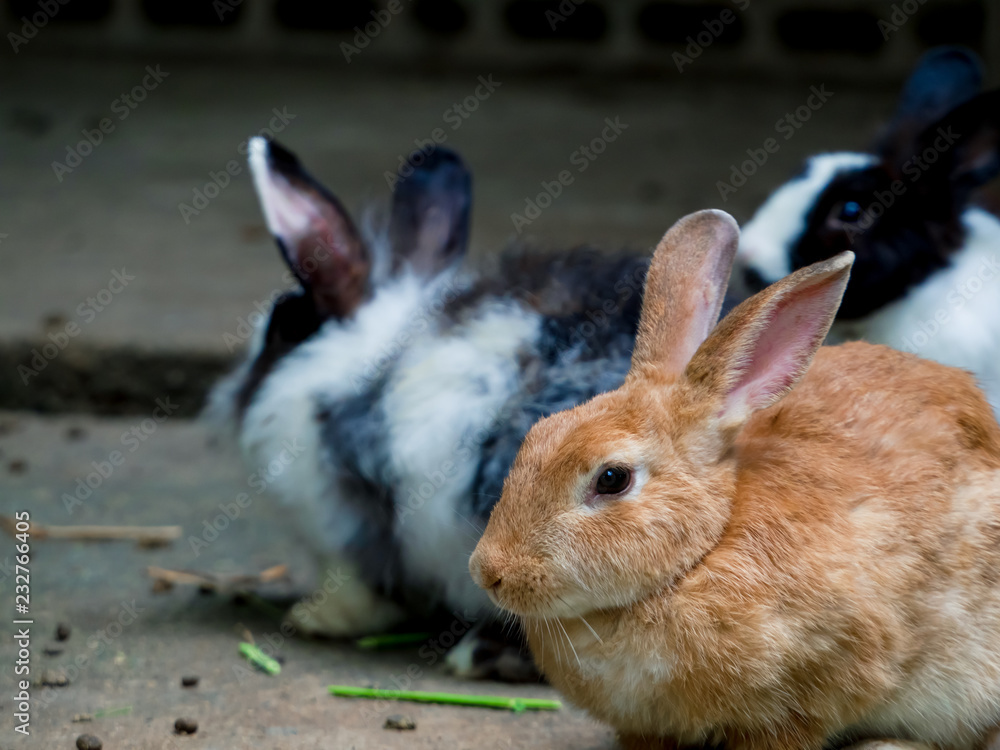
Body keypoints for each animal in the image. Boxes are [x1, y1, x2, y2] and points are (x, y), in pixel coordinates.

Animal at [205, 136, 652, 679]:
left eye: (285, 327)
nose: (227, 399)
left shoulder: (346, 522)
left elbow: (361, 588)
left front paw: (317, 617)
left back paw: (478, 655)